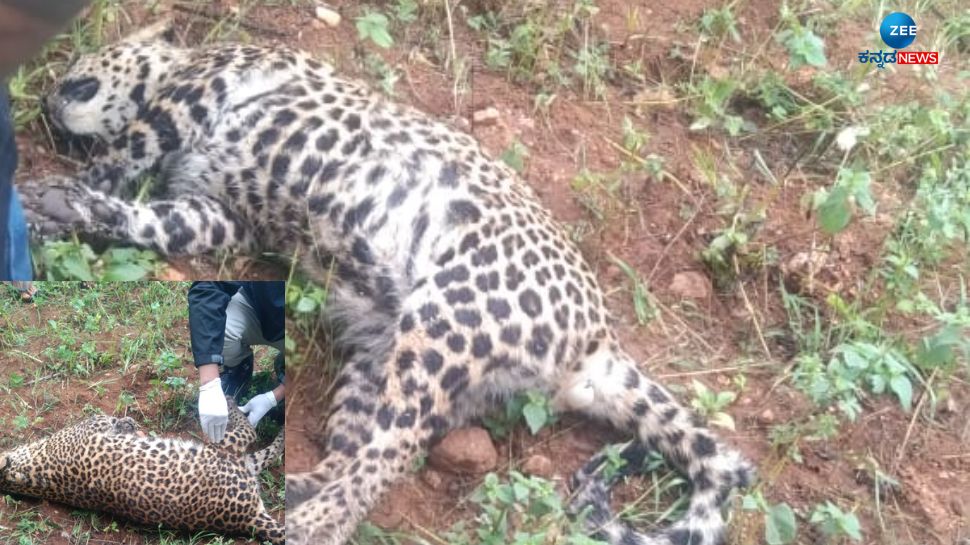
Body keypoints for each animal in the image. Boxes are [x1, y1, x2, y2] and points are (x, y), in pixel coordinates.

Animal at [0, 400, 284, 544]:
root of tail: (248, 521)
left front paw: (128, 424)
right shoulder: (93, 425)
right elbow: (106, 419)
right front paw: (127, 423)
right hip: (222, 449)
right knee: (249, 430)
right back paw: (232, 402)